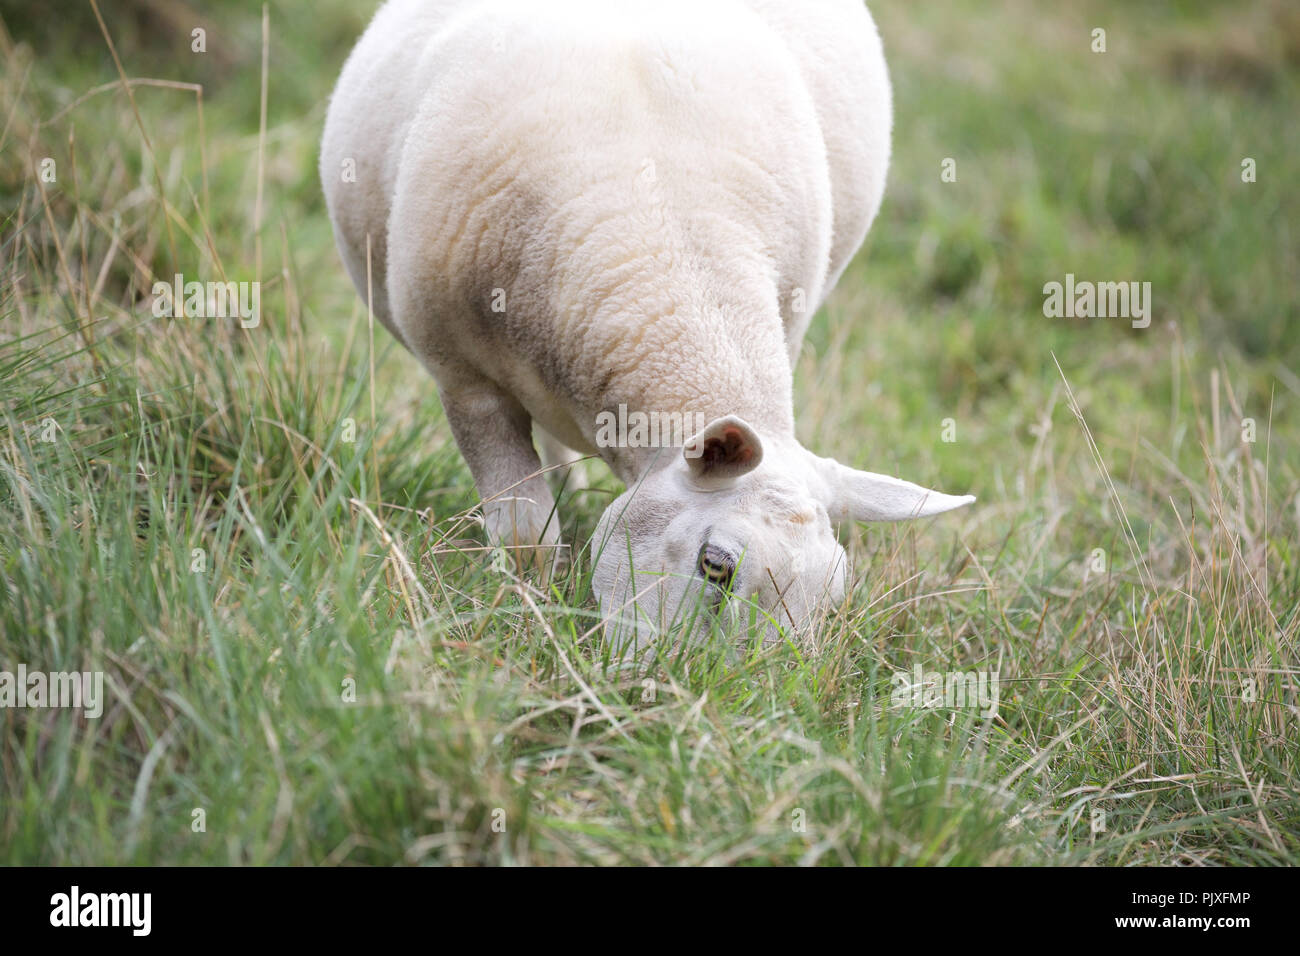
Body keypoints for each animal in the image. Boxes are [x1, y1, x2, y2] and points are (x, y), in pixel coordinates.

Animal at [321, 0, 974, 650]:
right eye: (716, 565)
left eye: (832, 599)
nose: (705, 687)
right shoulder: (464, 380)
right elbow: (527, 537)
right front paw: (525, 608)